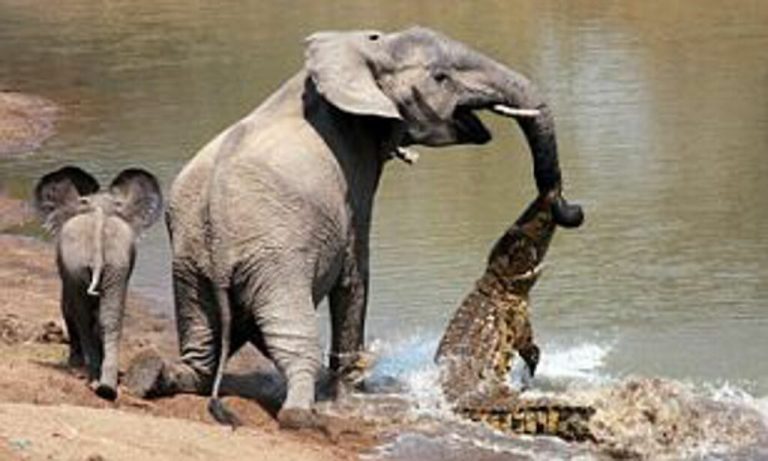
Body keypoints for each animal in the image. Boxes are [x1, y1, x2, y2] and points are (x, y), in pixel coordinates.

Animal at [34, 166, 163, 400]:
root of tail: (99, 222)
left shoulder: (67, 269)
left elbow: (67, 307)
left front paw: (73, 363)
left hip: (78, 264)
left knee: (83, 317)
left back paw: (92, 379)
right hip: (116, 265)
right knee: (110, 318)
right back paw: (106, 387)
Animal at [125, 26, 584, 428]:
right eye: (441, 77)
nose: (569, 207)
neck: (357, 53)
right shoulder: (353, 174)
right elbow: (355, 272)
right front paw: (351, 393)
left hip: (190, 266)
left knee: (201, 351)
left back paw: (148, 377)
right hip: (274, 261)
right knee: (294, 341)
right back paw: (302, 415)